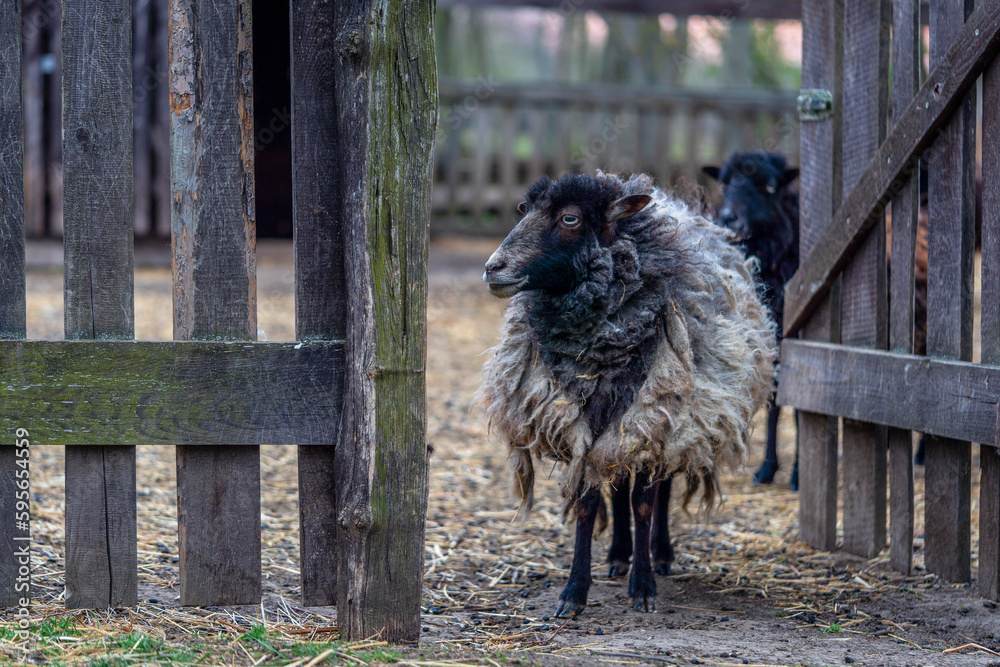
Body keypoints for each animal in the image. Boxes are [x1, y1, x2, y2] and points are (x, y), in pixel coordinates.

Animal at [479, 171, 776, 616]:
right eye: (523, 210)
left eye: (569, 218)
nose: (493, 267)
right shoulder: (582, 422)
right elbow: (589, 502)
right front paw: (574, 593)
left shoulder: (654, 417)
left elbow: (645, 502)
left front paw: (644, 586)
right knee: (618, 483)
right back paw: (619, 554)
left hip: (666, 417)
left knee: (658, 487)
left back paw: (660, 554)